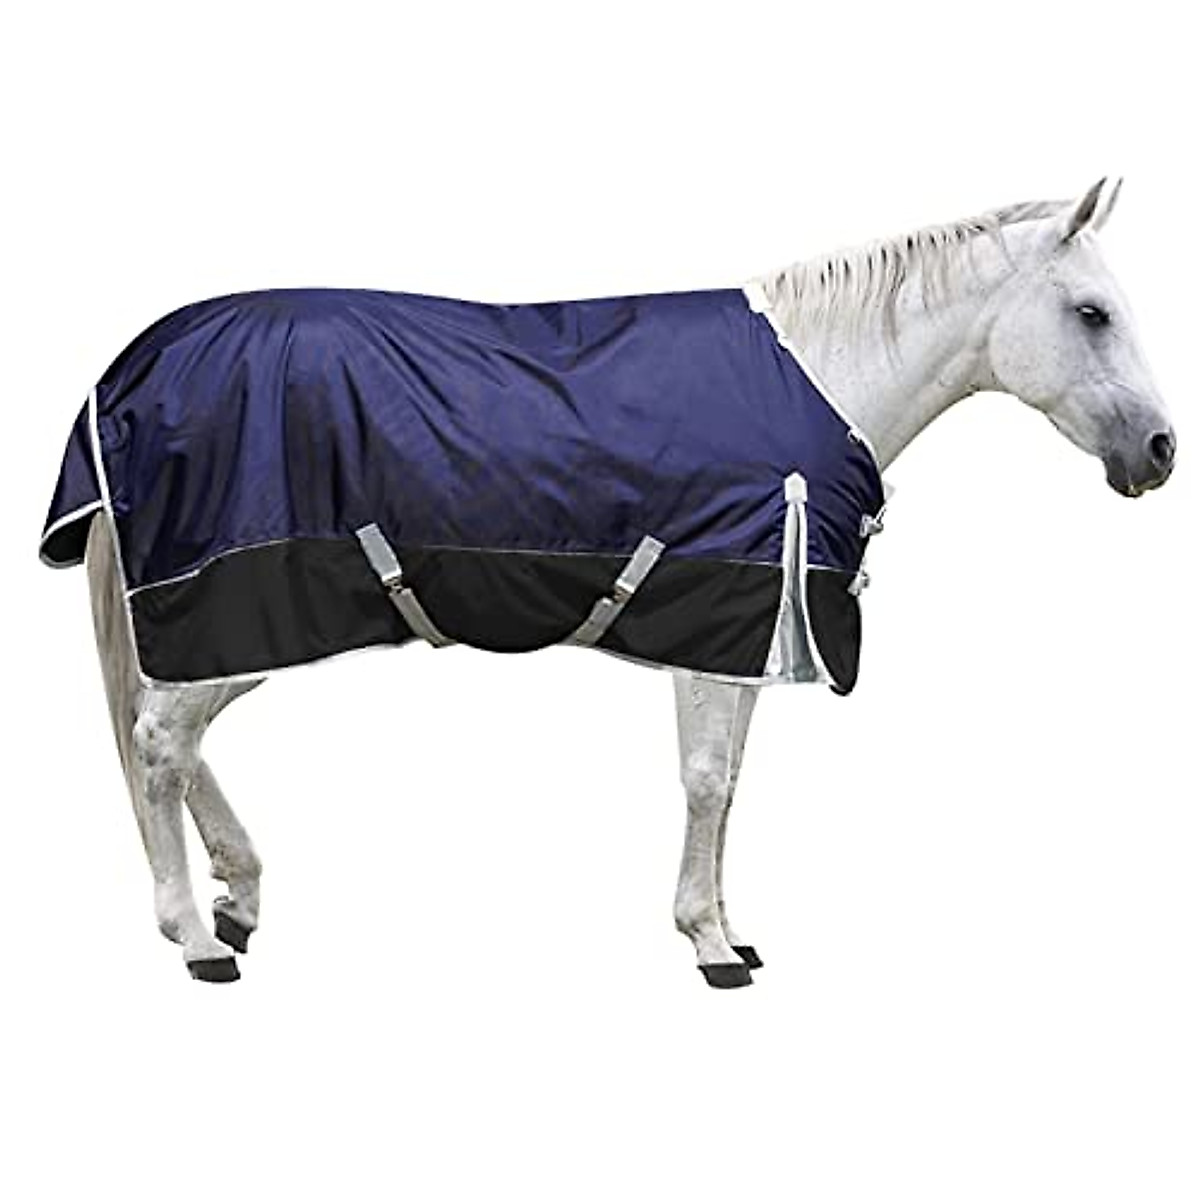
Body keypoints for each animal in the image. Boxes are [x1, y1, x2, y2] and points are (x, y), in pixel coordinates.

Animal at [40, 178, 1175, 987]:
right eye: (1092, 313)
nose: (1162, 452)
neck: (814, 378)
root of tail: (130, 373)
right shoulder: (717, 627)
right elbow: (708, 782)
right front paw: (710, 945)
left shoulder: (748, 635)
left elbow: (728, 782)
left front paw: (723, 929)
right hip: (236, 610)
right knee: (159, 745)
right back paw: (196, 936)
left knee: (171, 744)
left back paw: (236, 898)